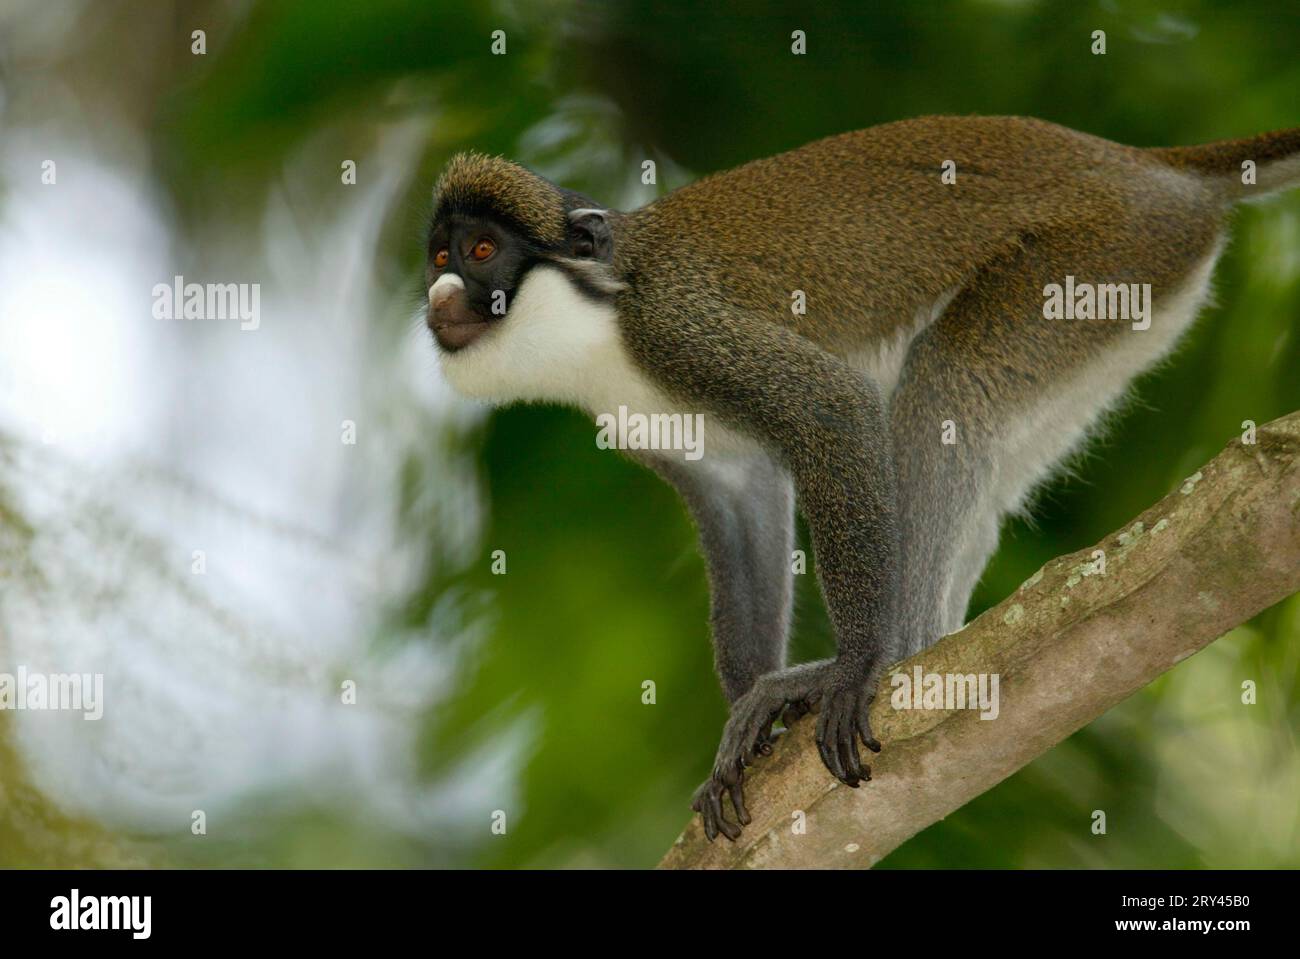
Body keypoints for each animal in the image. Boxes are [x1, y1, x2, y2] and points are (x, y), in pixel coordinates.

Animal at [423, 115, 1300, 842]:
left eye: (480, 253)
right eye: (437, 257)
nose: (437, 297)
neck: (595, 325)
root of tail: (1152, 167)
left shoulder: (677, 328)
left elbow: (833, 408)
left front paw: (850, 667)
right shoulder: (685, 440)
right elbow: (745, 506)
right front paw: (751, 726)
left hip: (1104, 255)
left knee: (947, 380)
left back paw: (900, 653)